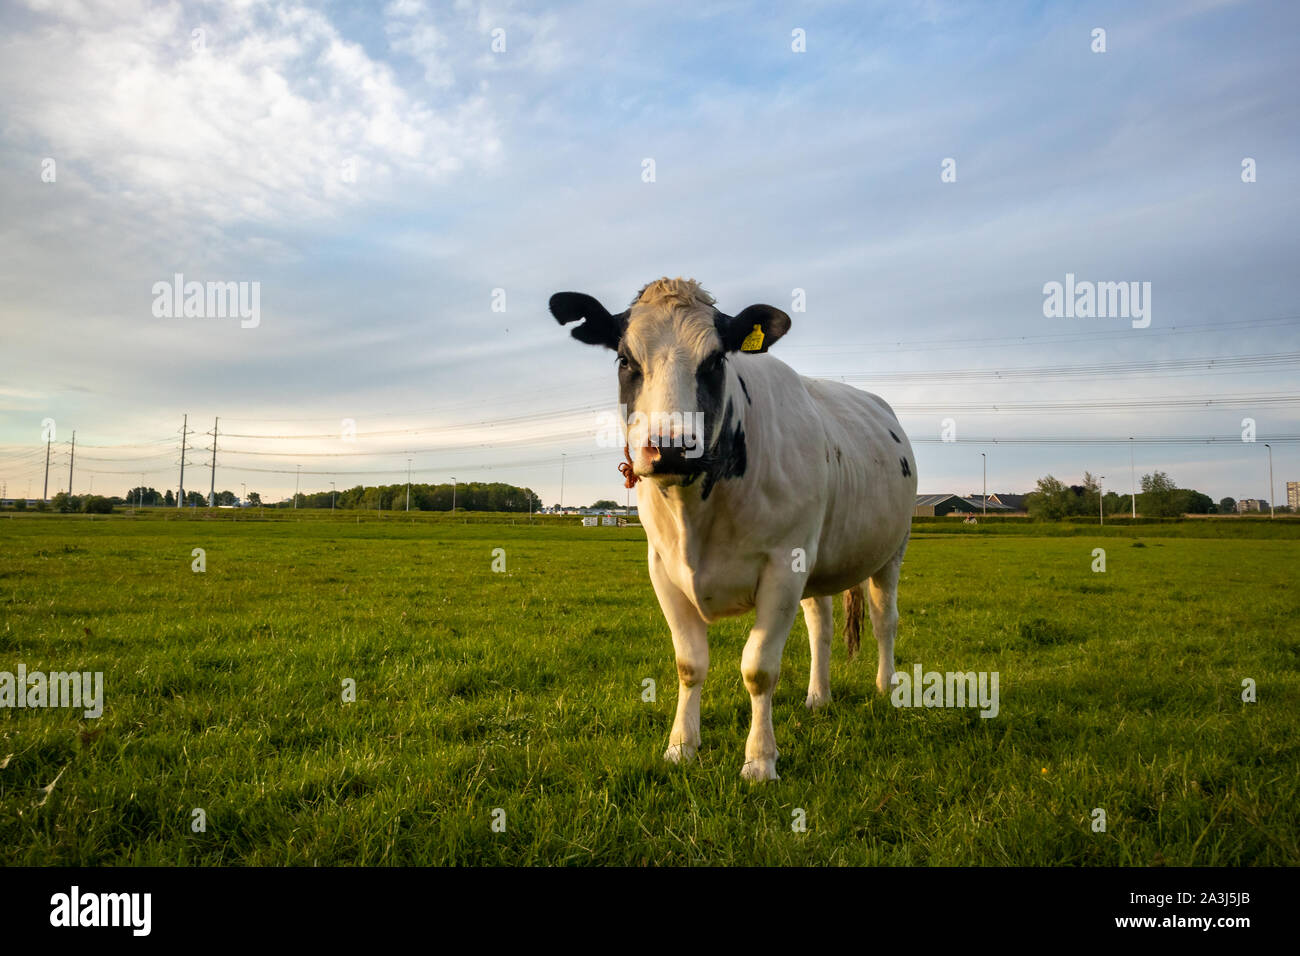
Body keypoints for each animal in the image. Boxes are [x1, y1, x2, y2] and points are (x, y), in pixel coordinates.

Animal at [549, 277, 917, 781]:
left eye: (715, 361)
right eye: (625, 359)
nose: (671, 447)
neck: (696, 516)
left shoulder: (783, 565)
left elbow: (758, 668)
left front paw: (760, 760)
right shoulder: (662, 568)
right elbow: (689, 664)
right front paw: (681, 746)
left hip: (891, 551)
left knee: (885, 621)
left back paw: (886, 689)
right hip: (818, 559)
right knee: (820, 626)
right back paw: (818, 697)